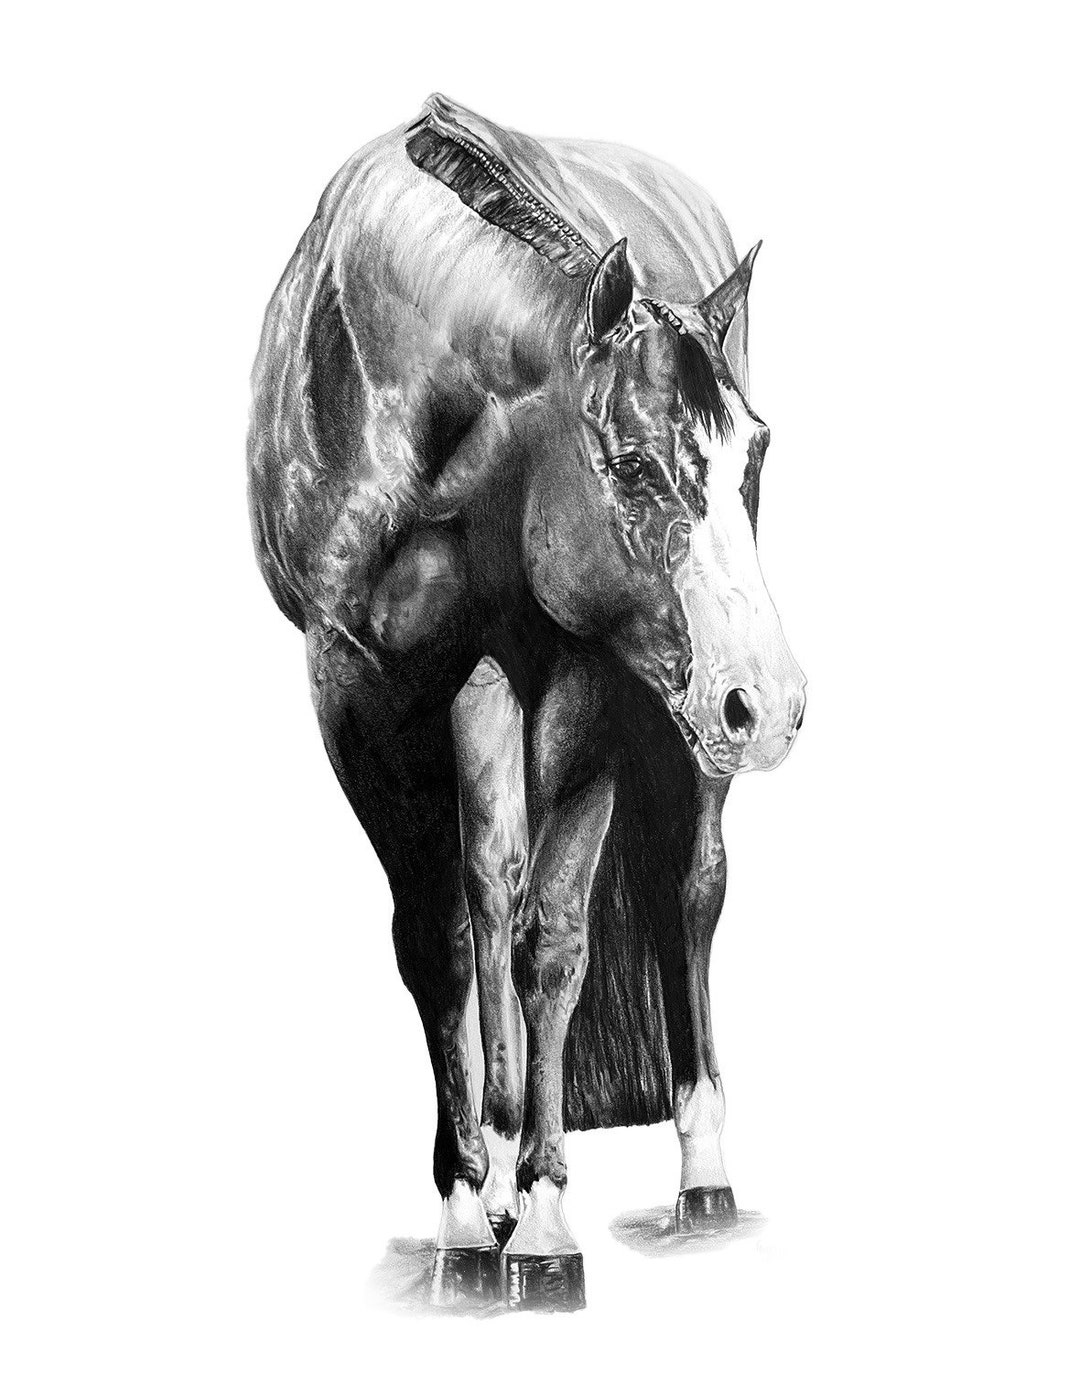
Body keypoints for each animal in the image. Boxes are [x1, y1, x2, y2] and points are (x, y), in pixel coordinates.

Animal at [247, 93, 805, 1312]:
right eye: (634, 465)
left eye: (754, 453)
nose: (774, 701)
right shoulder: (362, 696)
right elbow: (445, 942)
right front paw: (468, 1212)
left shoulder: (589, 678)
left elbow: (553, 942)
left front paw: (546, 1219)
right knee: (489, 887)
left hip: (664, 720)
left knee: (687, 889)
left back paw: (700, 1169)